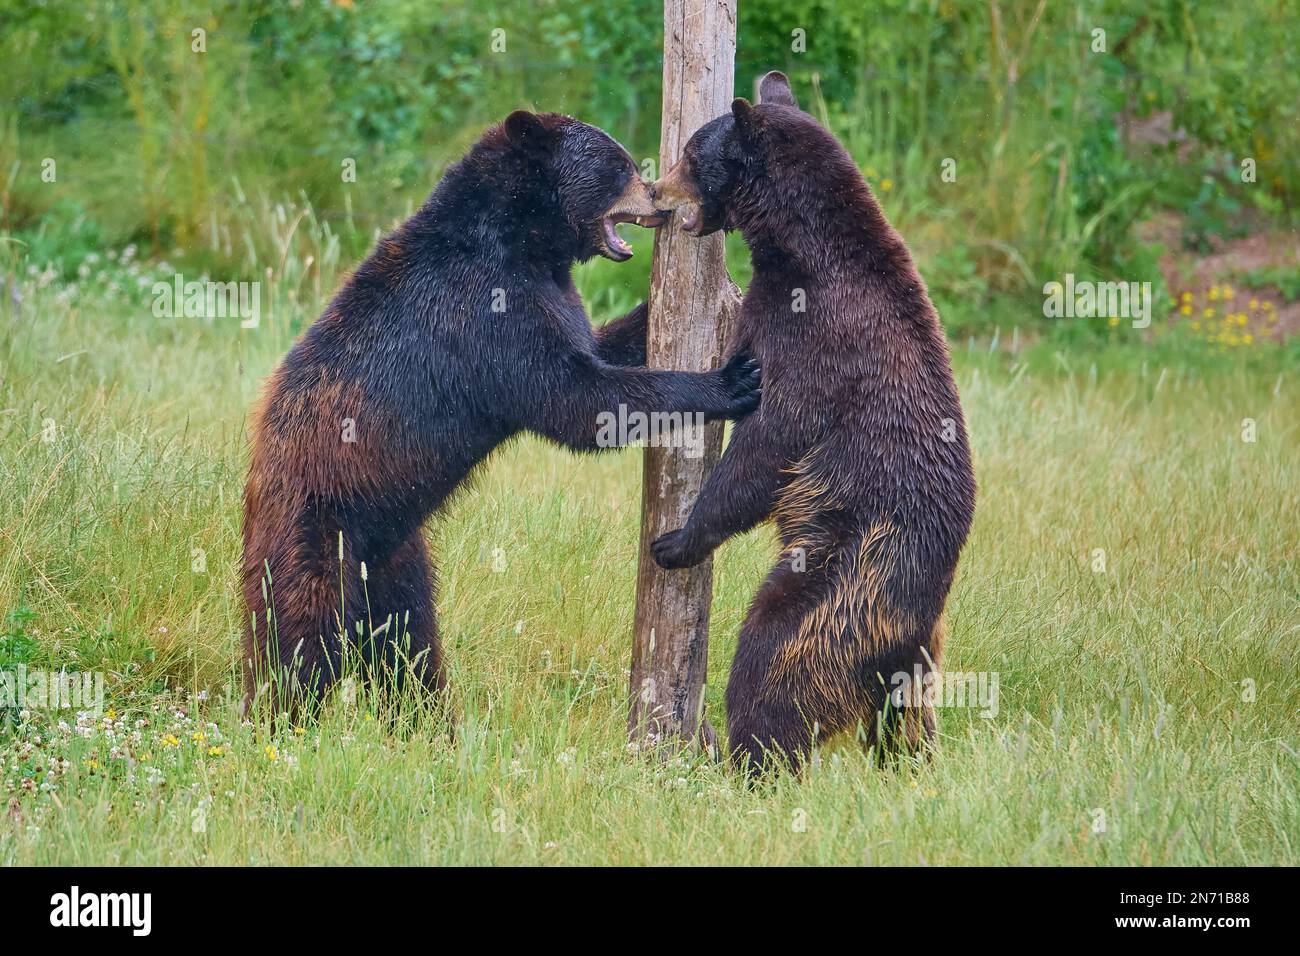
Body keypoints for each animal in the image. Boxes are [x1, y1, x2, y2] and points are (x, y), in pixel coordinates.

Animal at [241, 110, 761, 717]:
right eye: (621, 165)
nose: (658, 200)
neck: (524, 242)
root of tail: (259, 468)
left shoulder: (550, 296)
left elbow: (597, 348)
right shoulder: (485, 312)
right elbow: (579, 400)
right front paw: (731, 380)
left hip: (396, 551)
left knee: (406, 636)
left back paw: (425, 714)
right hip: (316, 526)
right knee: (300, 634)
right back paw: (285, 715)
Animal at [647, 72, 976, 775]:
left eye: (689, 154)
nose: (656, 189)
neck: (798, 250)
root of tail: (911, 624)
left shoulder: (814, 340)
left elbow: (768, 443)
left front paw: (677, 539)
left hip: (845, 582)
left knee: (772, 662)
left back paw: (746, 757)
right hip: (915, 653)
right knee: (909, 723)